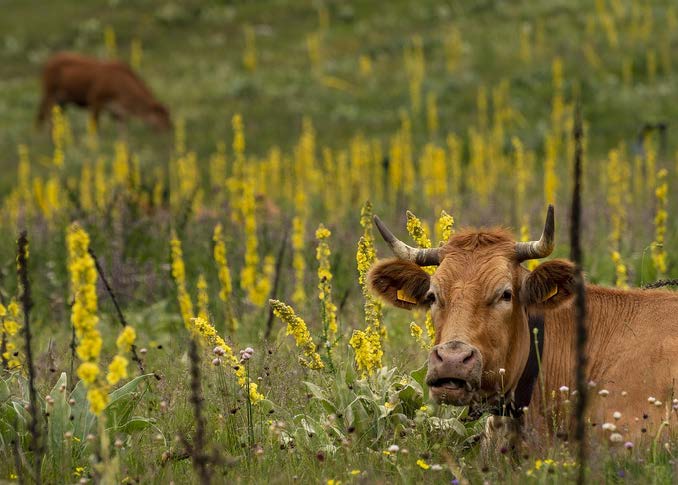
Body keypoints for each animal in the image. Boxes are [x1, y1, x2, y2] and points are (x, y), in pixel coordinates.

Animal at [36, 52, 171, 130]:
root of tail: (49, 62)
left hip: (63, 102)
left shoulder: (118, 113)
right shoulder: (96, 101)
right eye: (163, 117)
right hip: (49, 95)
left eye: (168, 116)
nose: (170, 128)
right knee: (43, 115)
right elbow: (95, 127)